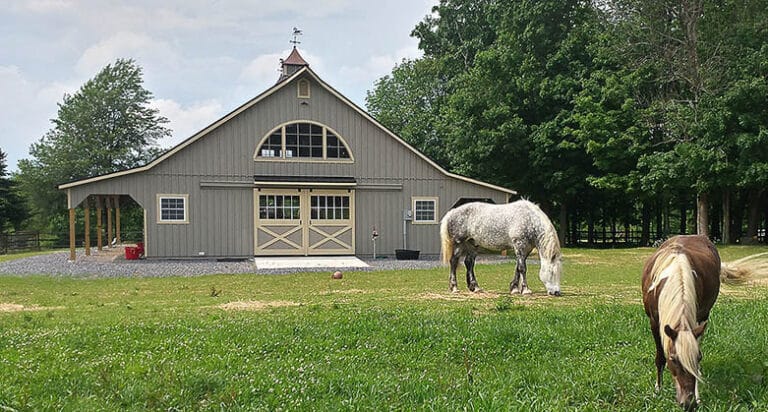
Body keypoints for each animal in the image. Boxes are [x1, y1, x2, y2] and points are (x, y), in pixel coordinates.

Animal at [641, 235, 768, 409]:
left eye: (699, 358)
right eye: (673, 359)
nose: (688, 403)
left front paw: (698, 395)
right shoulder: (654, 322)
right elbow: (660, 357)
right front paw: (657, 390)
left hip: (703, 318)